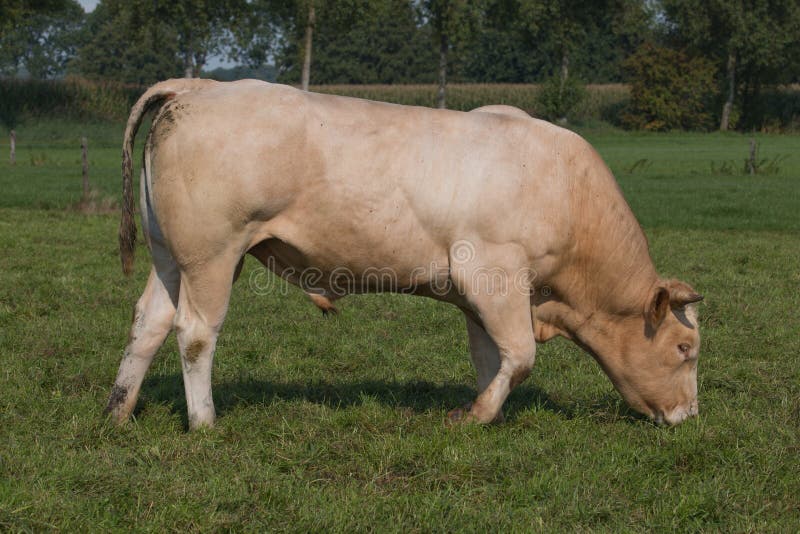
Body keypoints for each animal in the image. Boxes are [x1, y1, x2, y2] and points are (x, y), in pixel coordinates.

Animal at [106, 78, 703, 430]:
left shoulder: (476, 296)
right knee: (195, 332)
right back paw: (204, 422)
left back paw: (118, 410)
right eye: (684, 348)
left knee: (149, 321)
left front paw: (479, 407)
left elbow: (490, 357)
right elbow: (521, 354)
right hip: (213, 254)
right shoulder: (494, 273)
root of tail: (201, 84)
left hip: (170, 255)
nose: (689, 415)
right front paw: (475, 416)